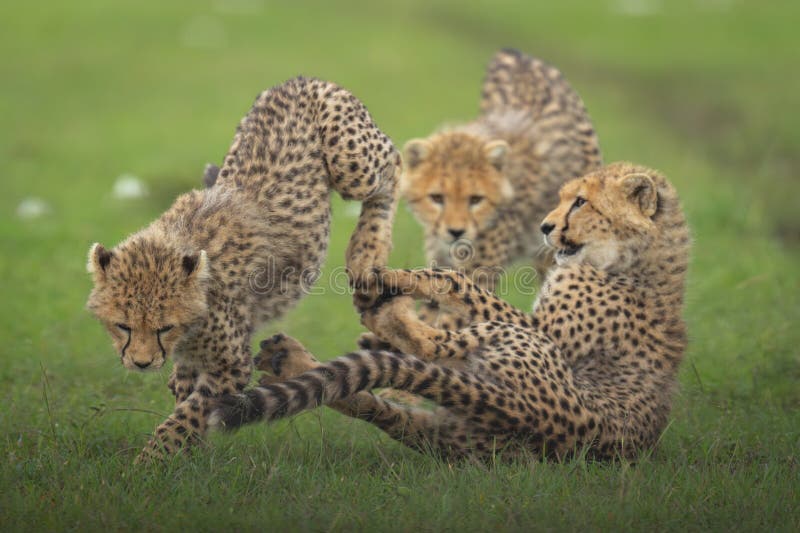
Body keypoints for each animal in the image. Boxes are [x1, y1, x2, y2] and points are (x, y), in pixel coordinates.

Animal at [85, 76, 401, 463]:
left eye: (164, 327)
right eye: (123, 325)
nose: (141, 364)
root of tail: (299, 79)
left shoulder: (232, 365)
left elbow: (187, 415)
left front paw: (151, 461)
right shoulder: (190, 361)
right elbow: (183, 399)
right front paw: (189, 456)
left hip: (351, 164)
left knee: (396, 164)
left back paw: (367, 247)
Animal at [210, 162, 690, 461]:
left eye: (582, 202)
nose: (546, 227)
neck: (641, 257)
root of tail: (540, 421)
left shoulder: (548, 334)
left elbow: (456, 281)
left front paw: (390, 278)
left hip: (516, 350)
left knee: (431, 348)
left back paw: (379, 313)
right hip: (450, 432)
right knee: (380, 406)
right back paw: (291, 361)